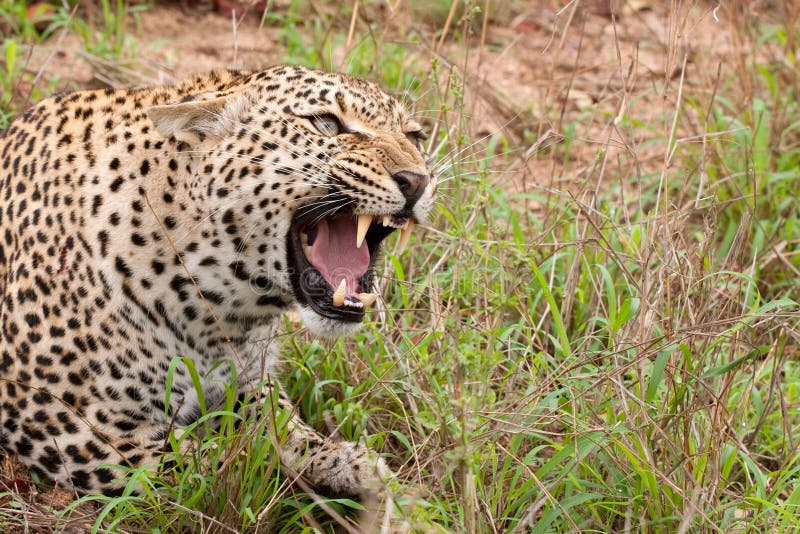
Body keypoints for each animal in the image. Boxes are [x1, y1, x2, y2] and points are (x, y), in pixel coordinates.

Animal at [0, 64, 435, 496]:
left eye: (415, 137)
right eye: (328, 124)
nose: (417, 181)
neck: (217, 314)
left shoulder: (249, 383)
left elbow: (281, 430)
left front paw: (349, 465)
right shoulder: (72, 422)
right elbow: (213, 466)